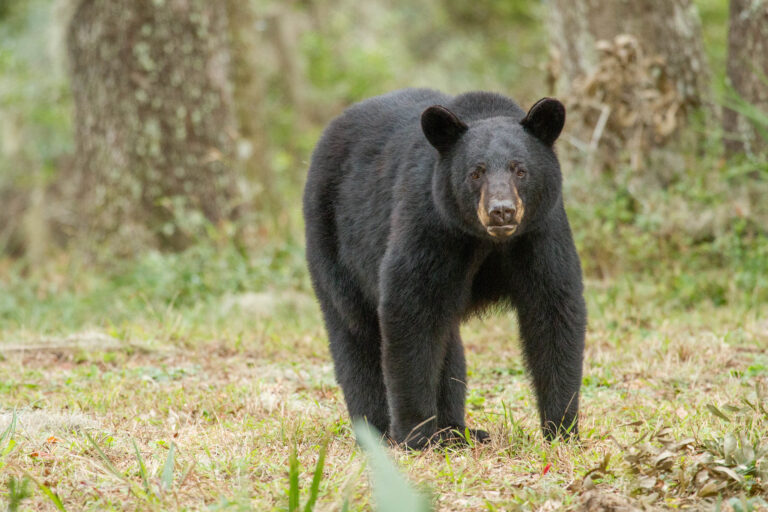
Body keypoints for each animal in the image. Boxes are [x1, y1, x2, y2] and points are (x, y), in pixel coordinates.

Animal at [303, 88, 586, 449]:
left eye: (519, 170)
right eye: (476, 172)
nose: (502, 211)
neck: (487, 240)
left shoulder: (539, 232)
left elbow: (553, 310)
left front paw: (562, 429)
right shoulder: (431, 224)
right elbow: (411, 310)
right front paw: (415, 435)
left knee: (448, 343)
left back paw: (458, 431)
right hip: (333, 241)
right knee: (355, 329)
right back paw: (376, 430)